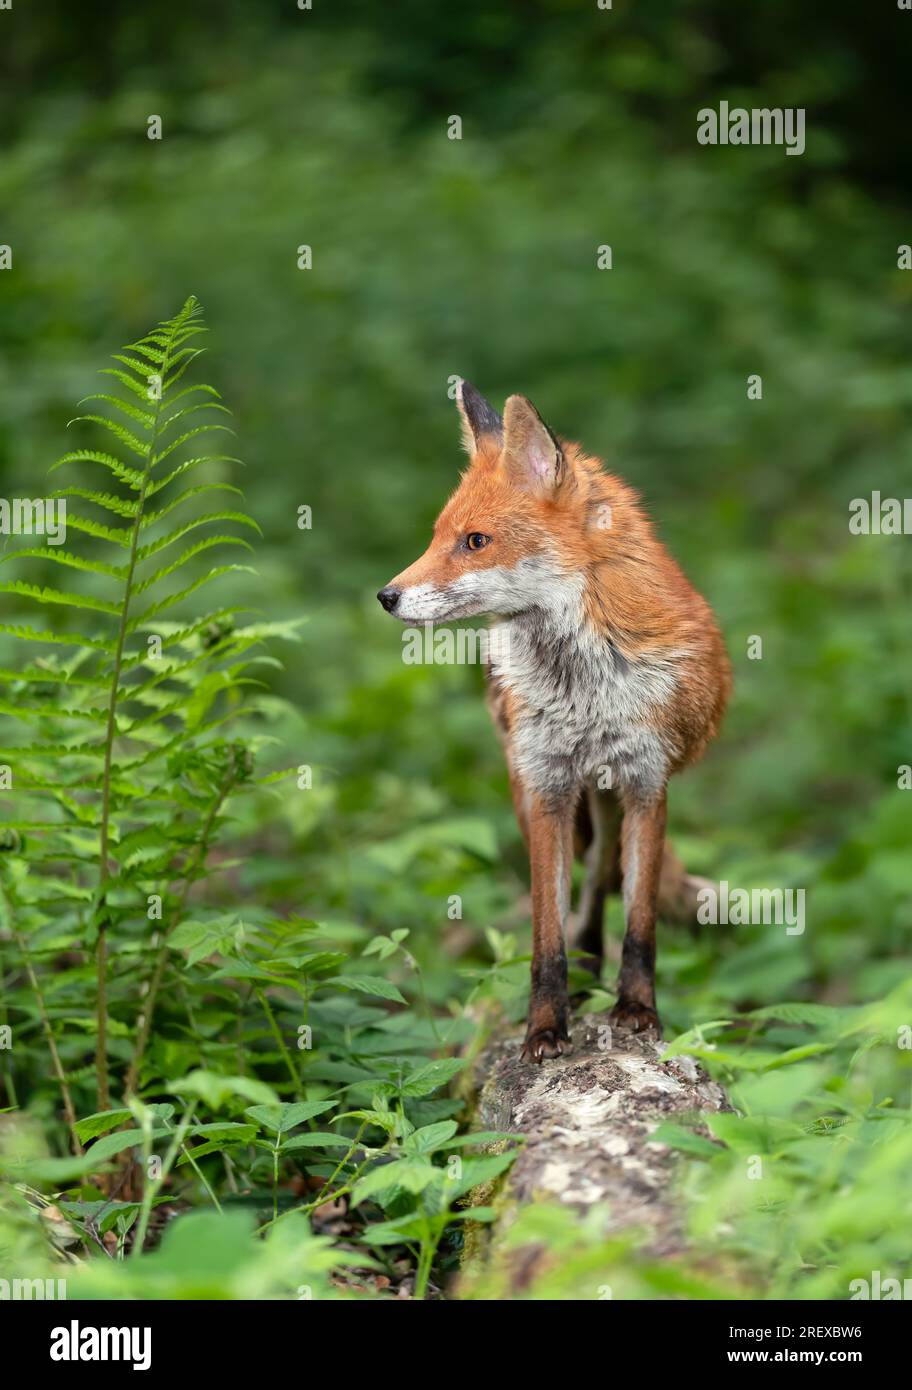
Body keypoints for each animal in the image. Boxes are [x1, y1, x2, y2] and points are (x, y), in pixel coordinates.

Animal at [378, 382, 731, 1063]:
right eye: (435, 537)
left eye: (475, 541)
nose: (386, 596)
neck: (583, 689)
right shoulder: (545, 786)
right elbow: (547, 936)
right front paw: (544, 1027)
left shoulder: (646, 782)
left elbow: (640, 923)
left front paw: (637, 1011)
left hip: (609, 801)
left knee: (599, 883)